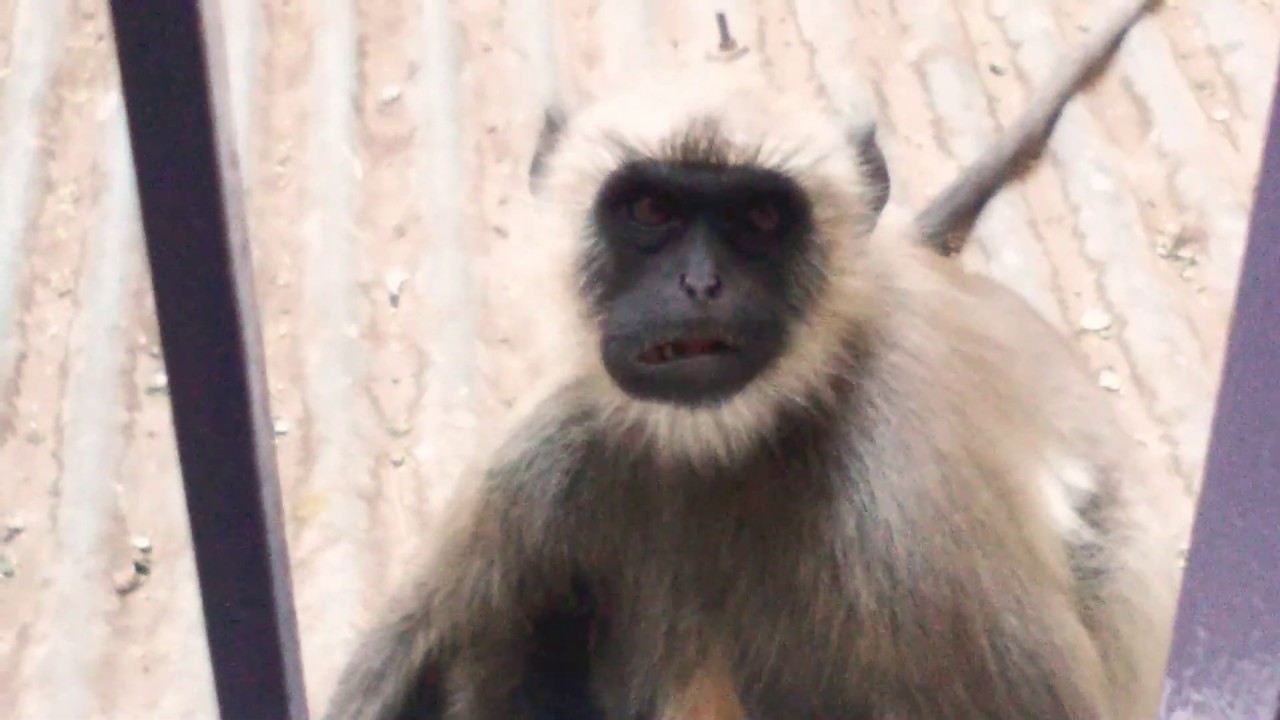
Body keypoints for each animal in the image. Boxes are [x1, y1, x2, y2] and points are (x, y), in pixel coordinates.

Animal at [322, 1, 1175, 718]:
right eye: (650, 209)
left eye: (761, 218)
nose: (700, 284)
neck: (728, 442)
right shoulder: (547, 443)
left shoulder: (907, 498)